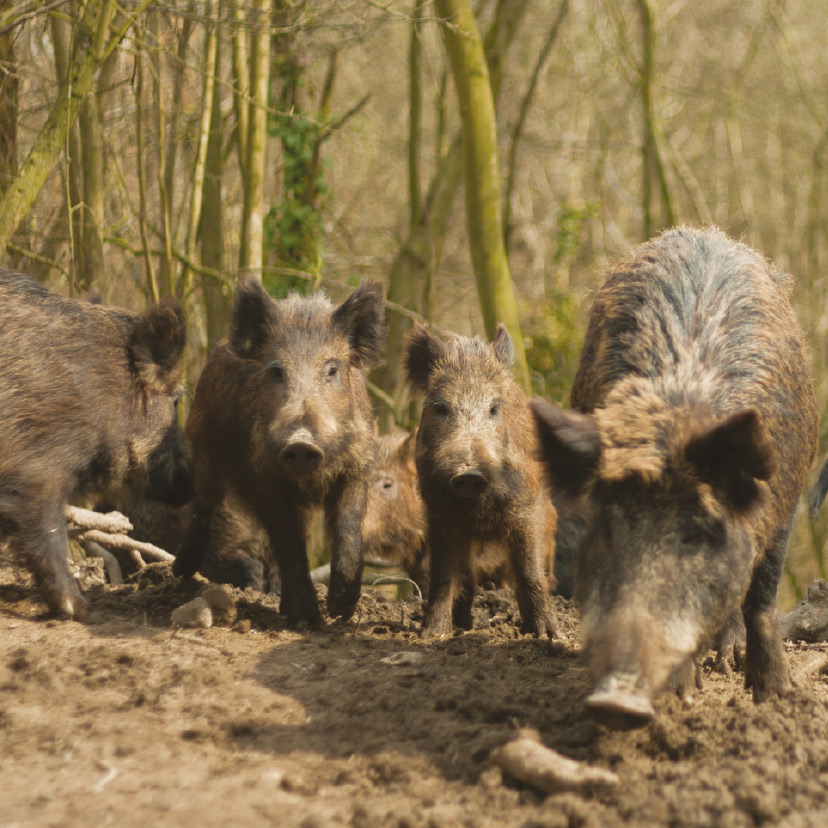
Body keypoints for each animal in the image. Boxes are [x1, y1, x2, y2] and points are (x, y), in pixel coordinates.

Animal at [172, 277, 385, 626]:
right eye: (275, 370)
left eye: (332, 370)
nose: (300, 443)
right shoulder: (261, 478)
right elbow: (288, 541)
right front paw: (308, 620)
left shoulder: (356, 467)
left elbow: (349, 529)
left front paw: (340, 612)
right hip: (203, 441)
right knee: (203, 505)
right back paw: (181, 573)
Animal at [404, 322, 558, 638]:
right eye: (441, 407)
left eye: (494, 408)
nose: (469, 474)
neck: (478, 509)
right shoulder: (439, 514)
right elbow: (442, 574)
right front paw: (432, 634)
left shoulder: (525, 510)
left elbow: (528, 571)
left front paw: (550, 635)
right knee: (467, 577)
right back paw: (463, 625)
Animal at [530, 226, 818, 727]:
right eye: (606, 529)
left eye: (698, 533)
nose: (614, 701)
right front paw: (684, 695)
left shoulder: (787, 499)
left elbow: (762, 597)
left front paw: (775, 697)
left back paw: (730, 660)